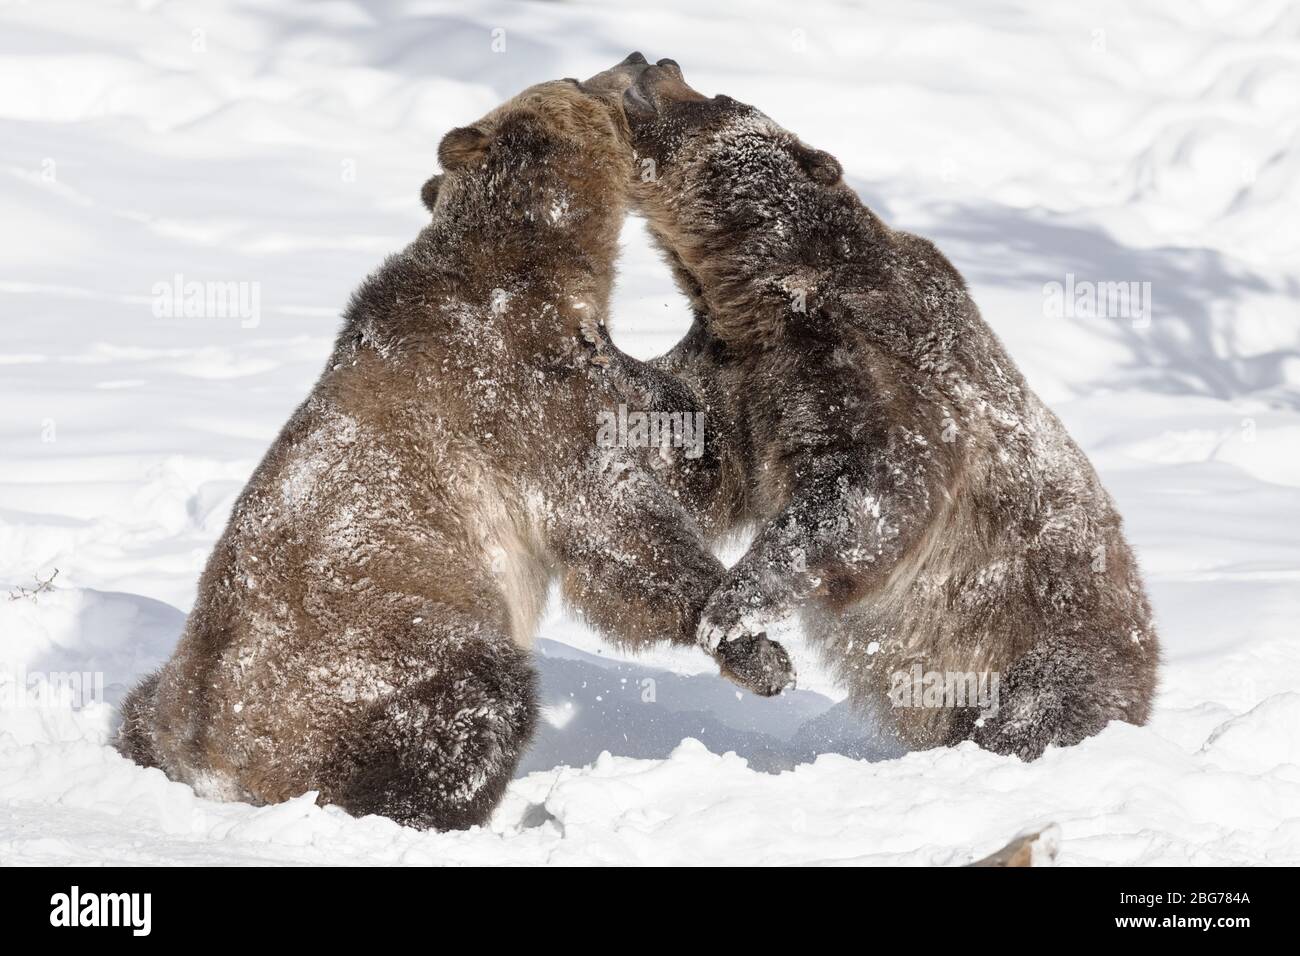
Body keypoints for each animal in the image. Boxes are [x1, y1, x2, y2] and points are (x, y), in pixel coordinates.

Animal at [116, 74, 793, 831]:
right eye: (582, 83)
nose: (637, 60)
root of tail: (206, 768)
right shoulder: (521, 399)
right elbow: (621, 528)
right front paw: (760, 650)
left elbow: (680, 440)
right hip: (378, 658)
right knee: (478, 699)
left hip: (177, 689)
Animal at [591, 56, 1159, 760]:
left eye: (717, 94)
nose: (653, 62)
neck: (768, 293)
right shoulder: (740, 368)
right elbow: (694, 441)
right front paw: (598, 347)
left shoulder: (876, 364)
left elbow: (877, 486)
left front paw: (729, 606)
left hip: (1048, 637)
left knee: (1040, 706)